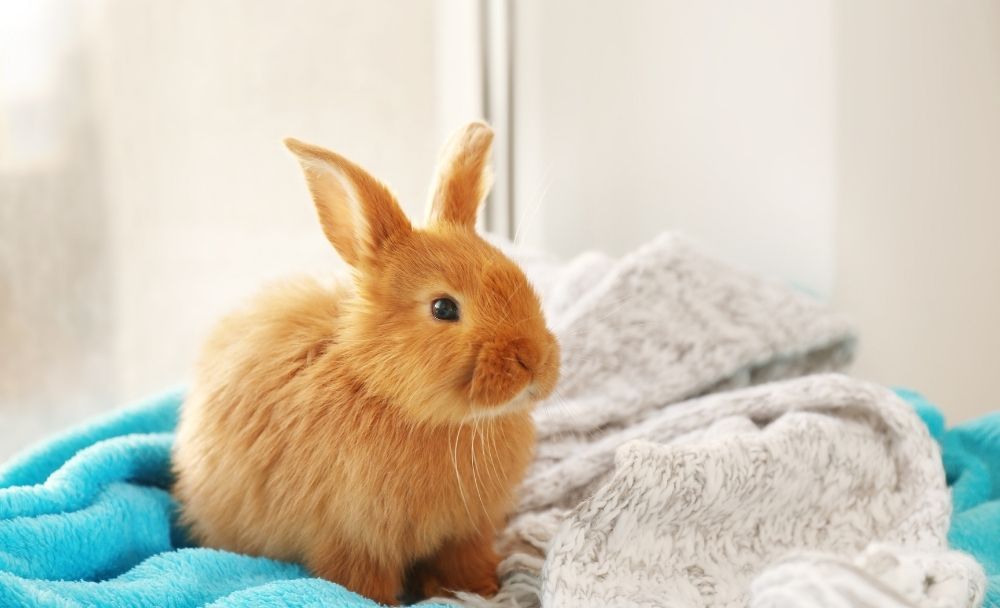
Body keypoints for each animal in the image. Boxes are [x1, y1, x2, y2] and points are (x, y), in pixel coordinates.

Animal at [171, 122, 559, 605]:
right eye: (444, 308)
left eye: (521, 279)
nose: (533, 361)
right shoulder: (354, 537)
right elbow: (361, 582)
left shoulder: (465, 531)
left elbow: (465, 562)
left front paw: (485, 589)